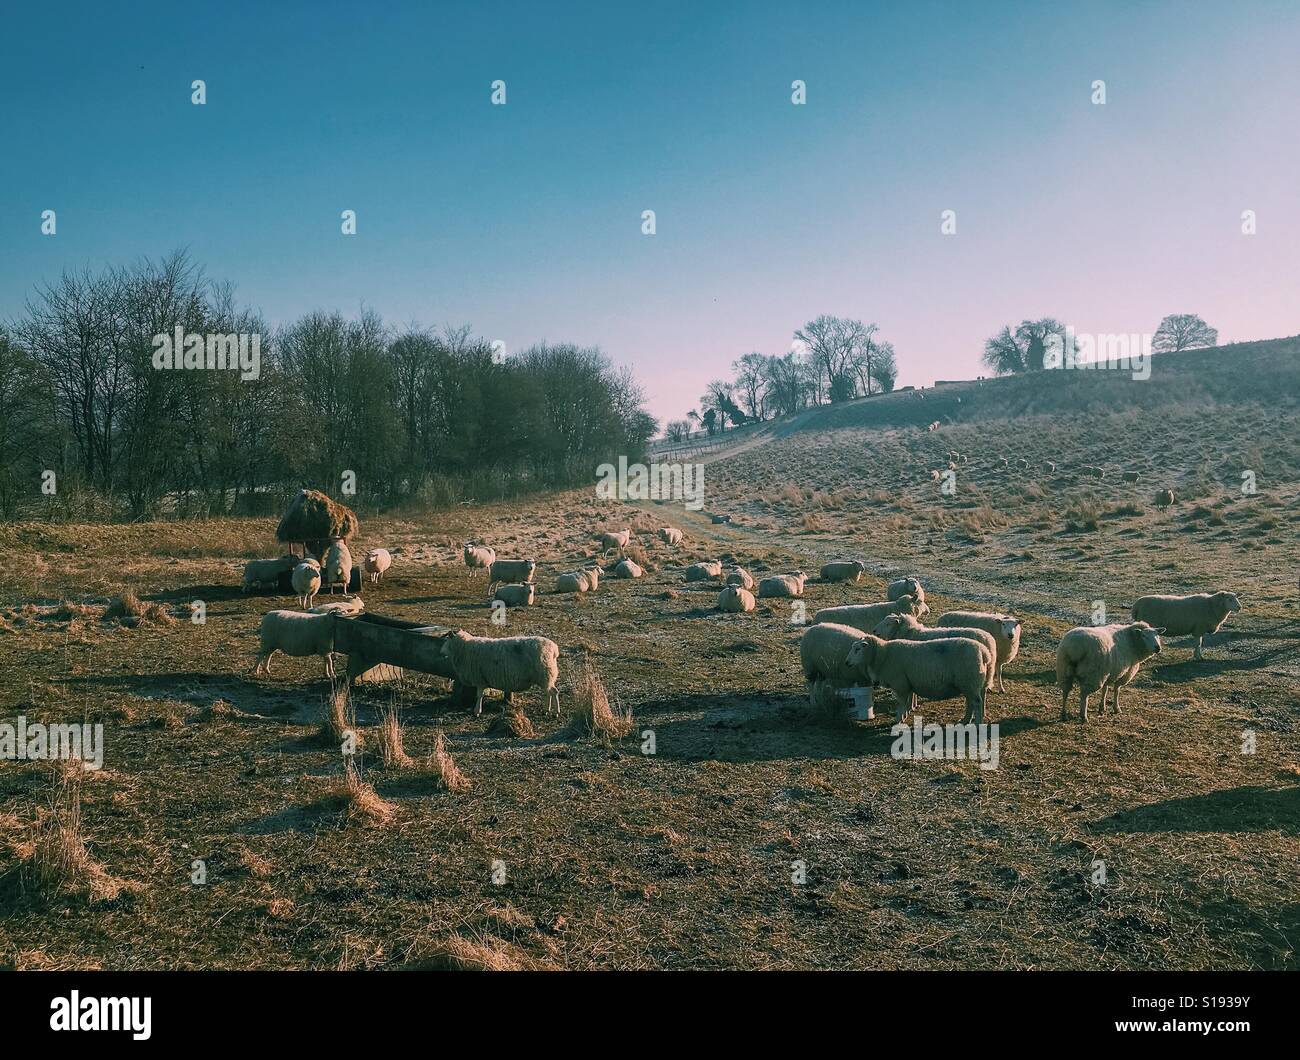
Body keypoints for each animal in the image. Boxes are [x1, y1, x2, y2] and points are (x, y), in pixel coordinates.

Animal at [845, 634, 993, 724]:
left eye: (857, 649)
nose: (846, 663)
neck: (882, 655)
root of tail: (984, 651)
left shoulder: (900, 684)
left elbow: (901, 703)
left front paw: (898, 720)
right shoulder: (907, 684)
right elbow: (907, 702)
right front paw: (904, 716)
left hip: (970, 681)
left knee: (977, 703)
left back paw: (977, 723)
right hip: (969, 684)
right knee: (971, 702)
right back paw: (965, 720)